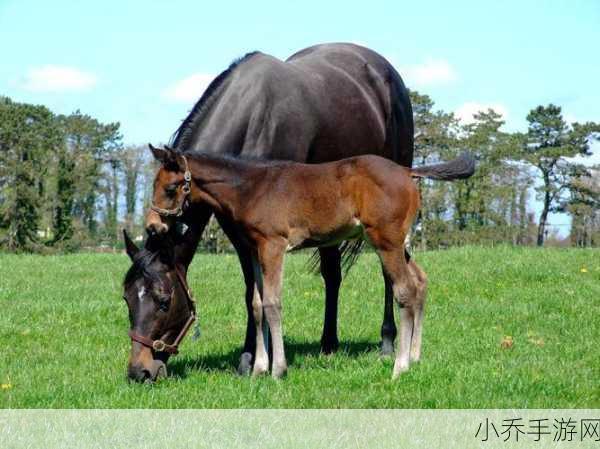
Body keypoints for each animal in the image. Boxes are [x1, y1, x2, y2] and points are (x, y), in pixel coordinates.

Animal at [141, 42, 414, 378]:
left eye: (162, 301)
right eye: (126, 296)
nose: (139, 371)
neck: (251, 116)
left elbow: (257, 294)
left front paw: (251, 359)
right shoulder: (244, 231)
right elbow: (256, 295)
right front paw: (261, 357)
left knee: (390, 275)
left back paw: (388, 343)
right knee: (332, 275)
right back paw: (328, 344)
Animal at [145, 144, 474, 378]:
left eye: (170, 188)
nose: (152, 226)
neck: (250, 188)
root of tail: (408, 171)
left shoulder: (273, 245)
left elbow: (272, 304)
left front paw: (278, 370)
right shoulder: (255, 250)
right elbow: (256, 304)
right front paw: (259, 369)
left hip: (386, 241)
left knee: (404, 290)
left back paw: (400, 366)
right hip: (396, 243)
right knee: (419, 282)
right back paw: (415, 357)